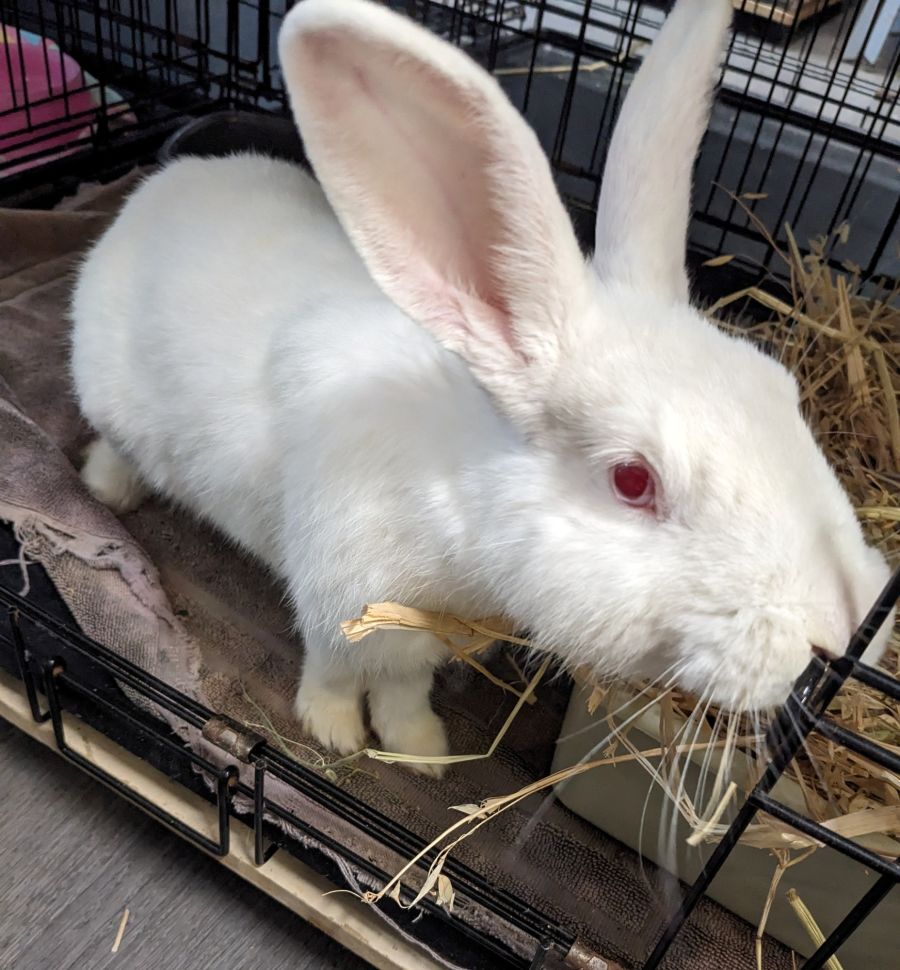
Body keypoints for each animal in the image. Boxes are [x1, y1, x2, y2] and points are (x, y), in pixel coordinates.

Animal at [70, 0, 893, 777]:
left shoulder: (419, 642)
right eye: (633, 480)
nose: (842, 627)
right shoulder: (338, 605)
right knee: (116, 449)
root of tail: (163, 184)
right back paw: (109, 491)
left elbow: (404, 691)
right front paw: (334, 731)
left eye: (781, 389)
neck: (457, 489)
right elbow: (332, 672)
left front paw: (421, 750)